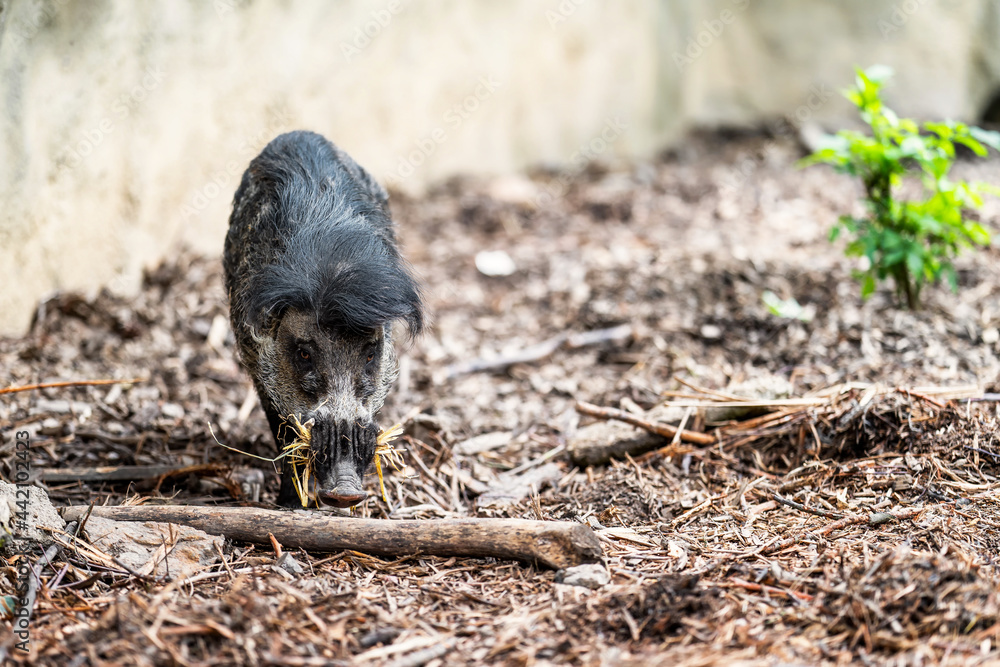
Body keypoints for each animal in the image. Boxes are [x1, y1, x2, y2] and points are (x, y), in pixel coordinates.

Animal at [223, 131, 422, 508]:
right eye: (304, 353)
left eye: (370, 354)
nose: (345, 493)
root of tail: (299, 133)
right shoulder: (258, 367)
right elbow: (286, 438)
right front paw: (290, 506)